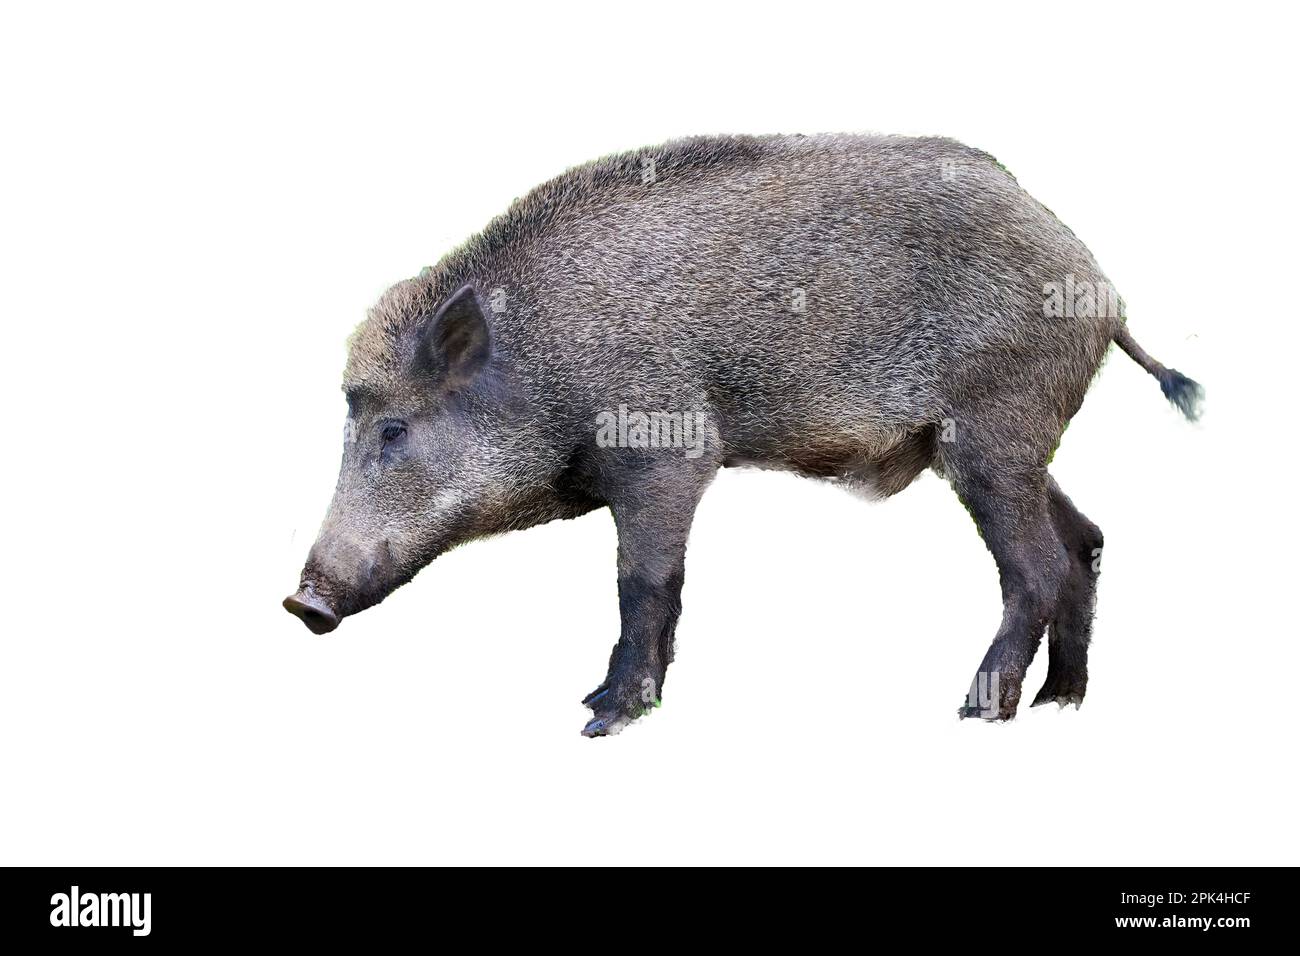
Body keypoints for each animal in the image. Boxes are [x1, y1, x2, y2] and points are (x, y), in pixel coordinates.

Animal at [283, 134, 1203, 735]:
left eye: (393, 427)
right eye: (350, 423)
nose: (301, 601)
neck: (542, 365)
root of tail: (1103, 289)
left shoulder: (668, 450)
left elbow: (645, 581)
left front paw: (602, 720)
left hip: (993, 432)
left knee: (1037, 567)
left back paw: (978, 713)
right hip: (1013, 444)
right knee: (1085, 540)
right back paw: (1061, 704)